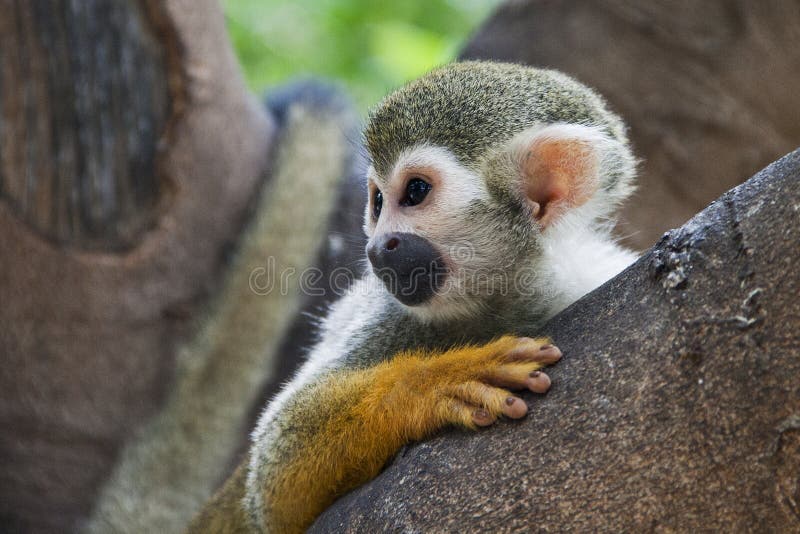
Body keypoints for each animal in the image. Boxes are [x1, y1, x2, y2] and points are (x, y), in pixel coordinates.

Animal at [185, 61, 638, 533]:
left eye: (416, 192)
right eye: (377, 201)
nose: (376, 246)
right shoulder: (390, 315)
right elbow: (275, 479)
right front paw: (433, 383)